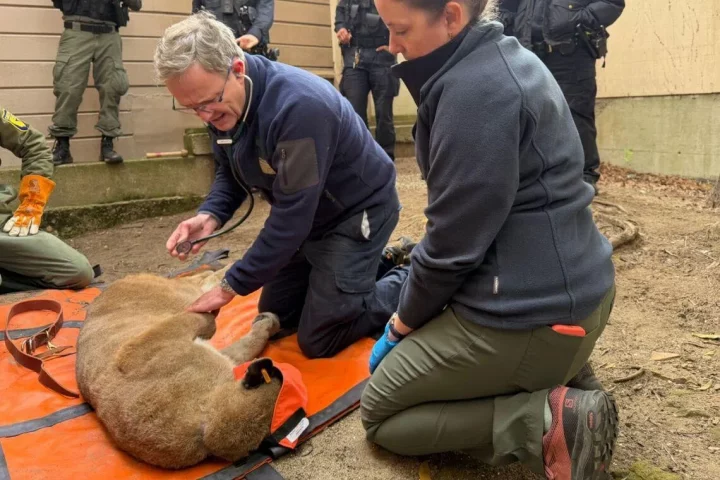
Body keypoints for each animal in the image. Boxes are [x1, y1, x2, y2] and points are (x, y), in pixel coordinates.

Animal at [75, 266, 283, 469]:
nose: (279, 372)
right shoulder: (141, 347)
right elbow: (207, 321)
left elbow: (248, 344)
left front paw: (267, 323)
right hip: (178, 291)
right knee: (199, 282)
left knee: (201, 281)